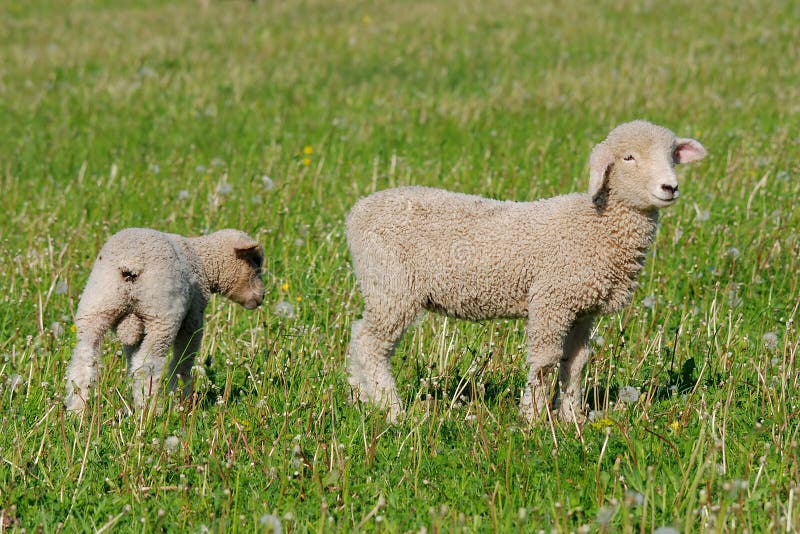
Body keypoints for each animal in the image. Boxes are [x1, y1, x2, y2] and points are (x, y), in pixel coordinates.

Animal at [64, 228, 265, 414]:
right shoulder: (193, 320)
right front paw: (182, 398)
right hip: (161, 315)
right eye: (256, 262)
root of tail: (130, 263)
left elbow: (131, 359)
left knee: (85, 359)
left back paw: (77, 410)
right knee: (147, 364)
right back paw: (152, 411)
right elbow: (183, 361)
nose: (262, 296)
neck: (203, 262)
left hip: (96, 307)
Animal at [346, 120, 707, 423]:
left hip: (382, 286)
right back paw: (393, 409)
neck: (597, 225)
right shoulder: (552, 300)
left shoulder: (582, 308)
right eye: (629, 157)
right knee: (370, 343)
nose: (670, 187)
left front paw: (572, 418)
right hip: (392, 285)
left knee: (358, 335)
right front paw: (531, 419)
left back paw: (359, 395)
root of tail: (357, 211)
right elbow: (545, 362)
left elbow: (576, 362)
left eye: (672, 156)